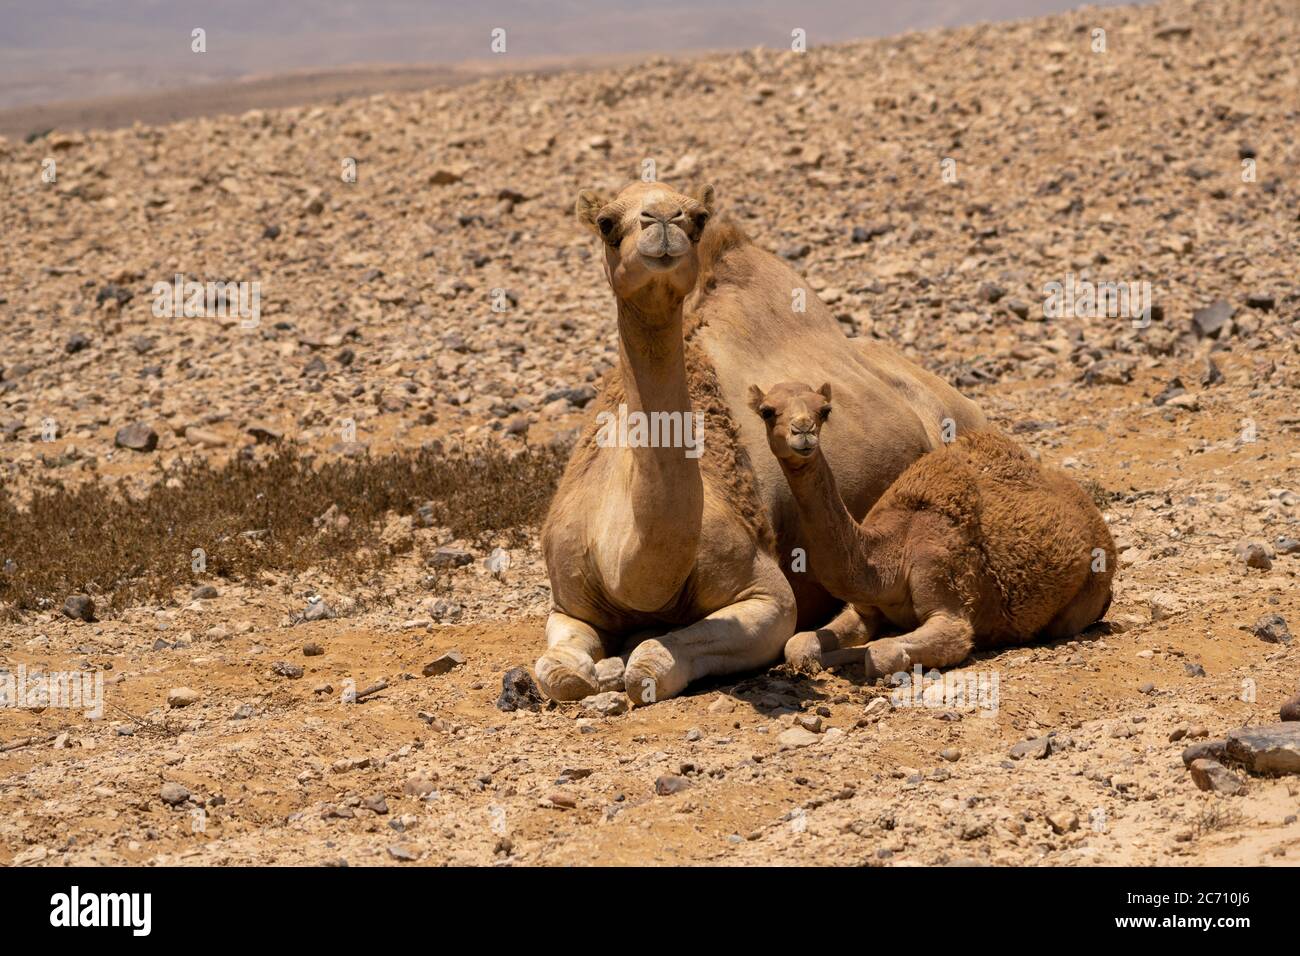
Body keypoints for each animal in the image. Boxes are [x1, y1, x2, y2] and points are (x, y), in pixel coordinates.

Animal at [535, 181, 986, 705]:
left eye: (698, 217)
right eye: (606, 223)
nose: (663, 219)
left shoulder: (766, 594)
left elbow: (652, 661)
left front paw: (623, 662)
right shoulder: (568, 601)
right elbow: (559, 673)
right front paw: (599, 667)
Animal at [748, 381, 1116, 676]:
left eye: (824, 410)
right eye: (767, 411)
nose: (803, 431)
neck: (888, 556)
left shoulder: (946, 596)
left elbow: (881, 653)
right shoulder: (862, 609)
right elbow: (798, 644)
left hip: (1085, 597)